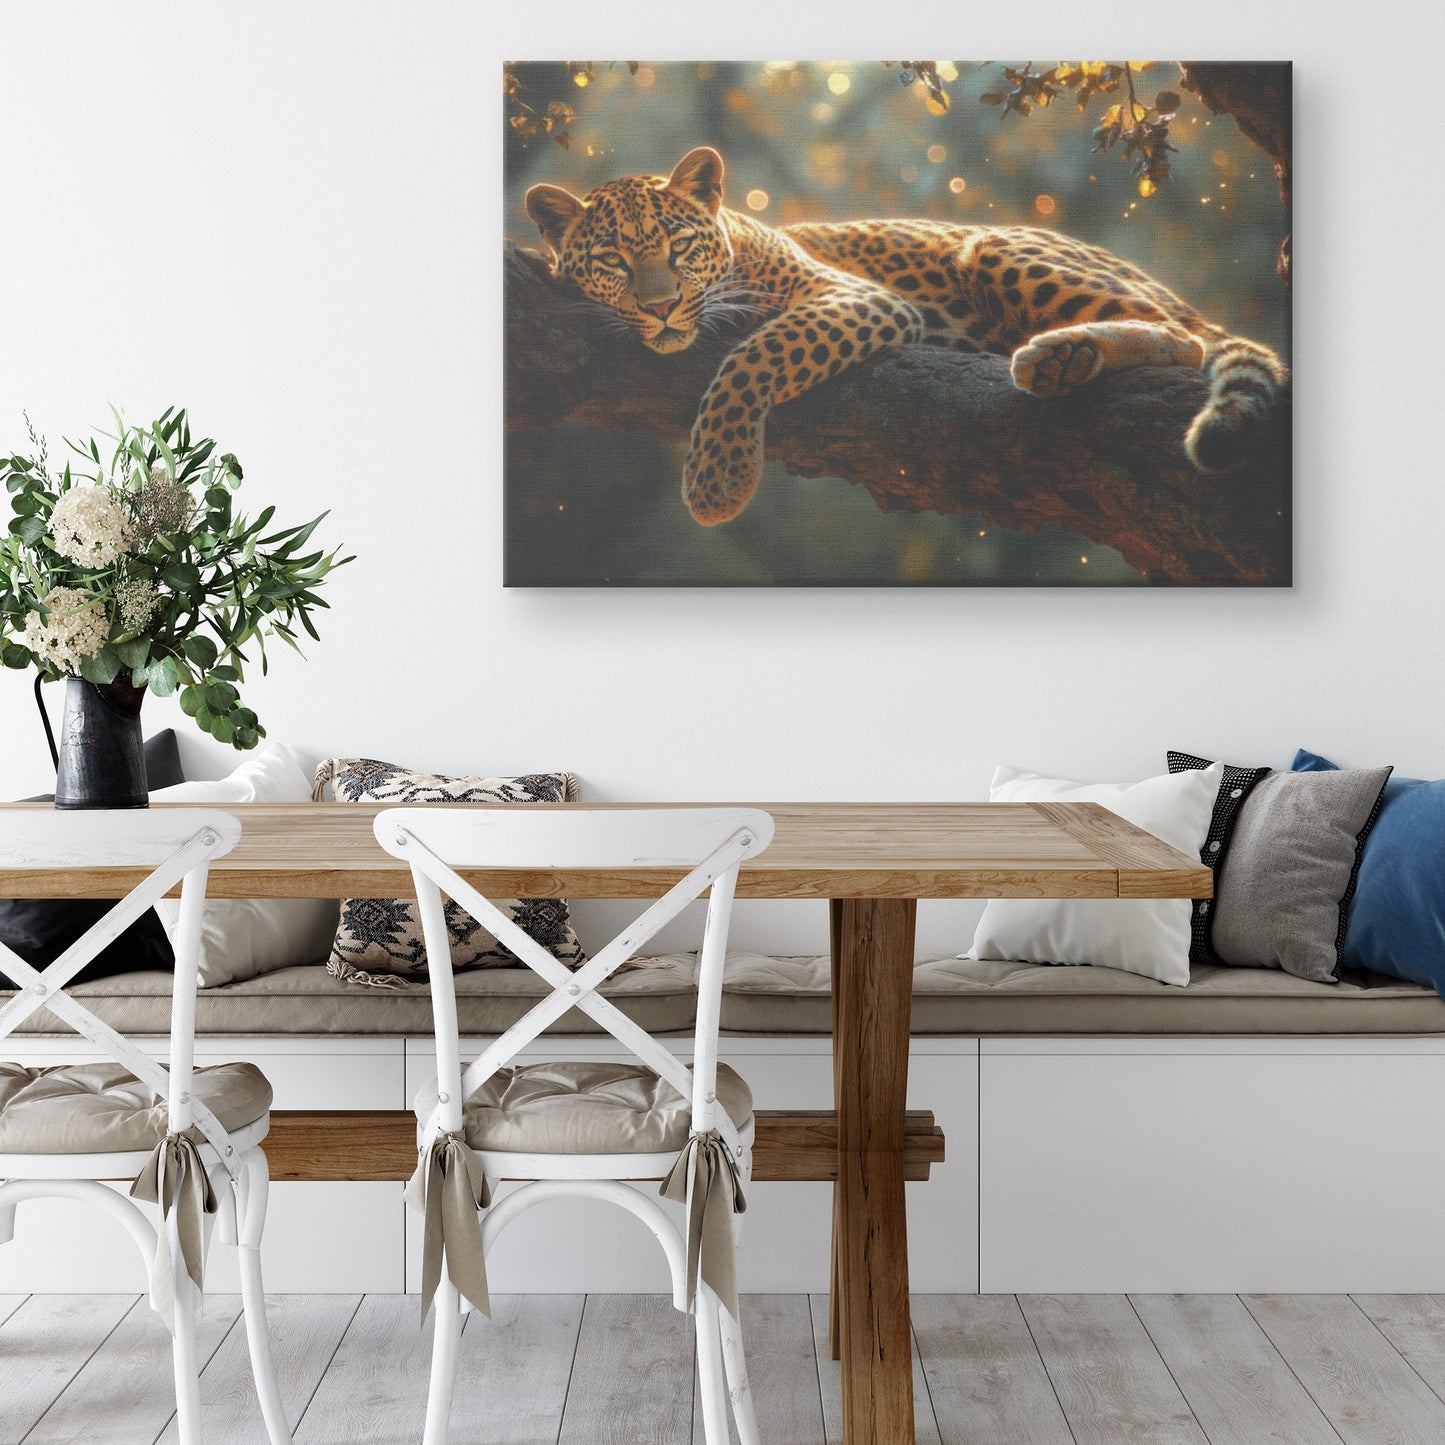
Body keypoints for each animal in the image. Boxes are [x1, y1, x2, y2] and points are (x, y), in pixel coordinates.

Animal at [525, 146, 1288, 527]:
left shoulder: (859, 297)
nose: (660, 307)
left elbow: (754, 353)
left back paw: (1056, 354)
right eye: (613, 260)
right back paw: (1065, 360)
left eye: (678, 247)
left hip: (999, 247)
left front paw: (718, 480)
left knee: (1185, 339)